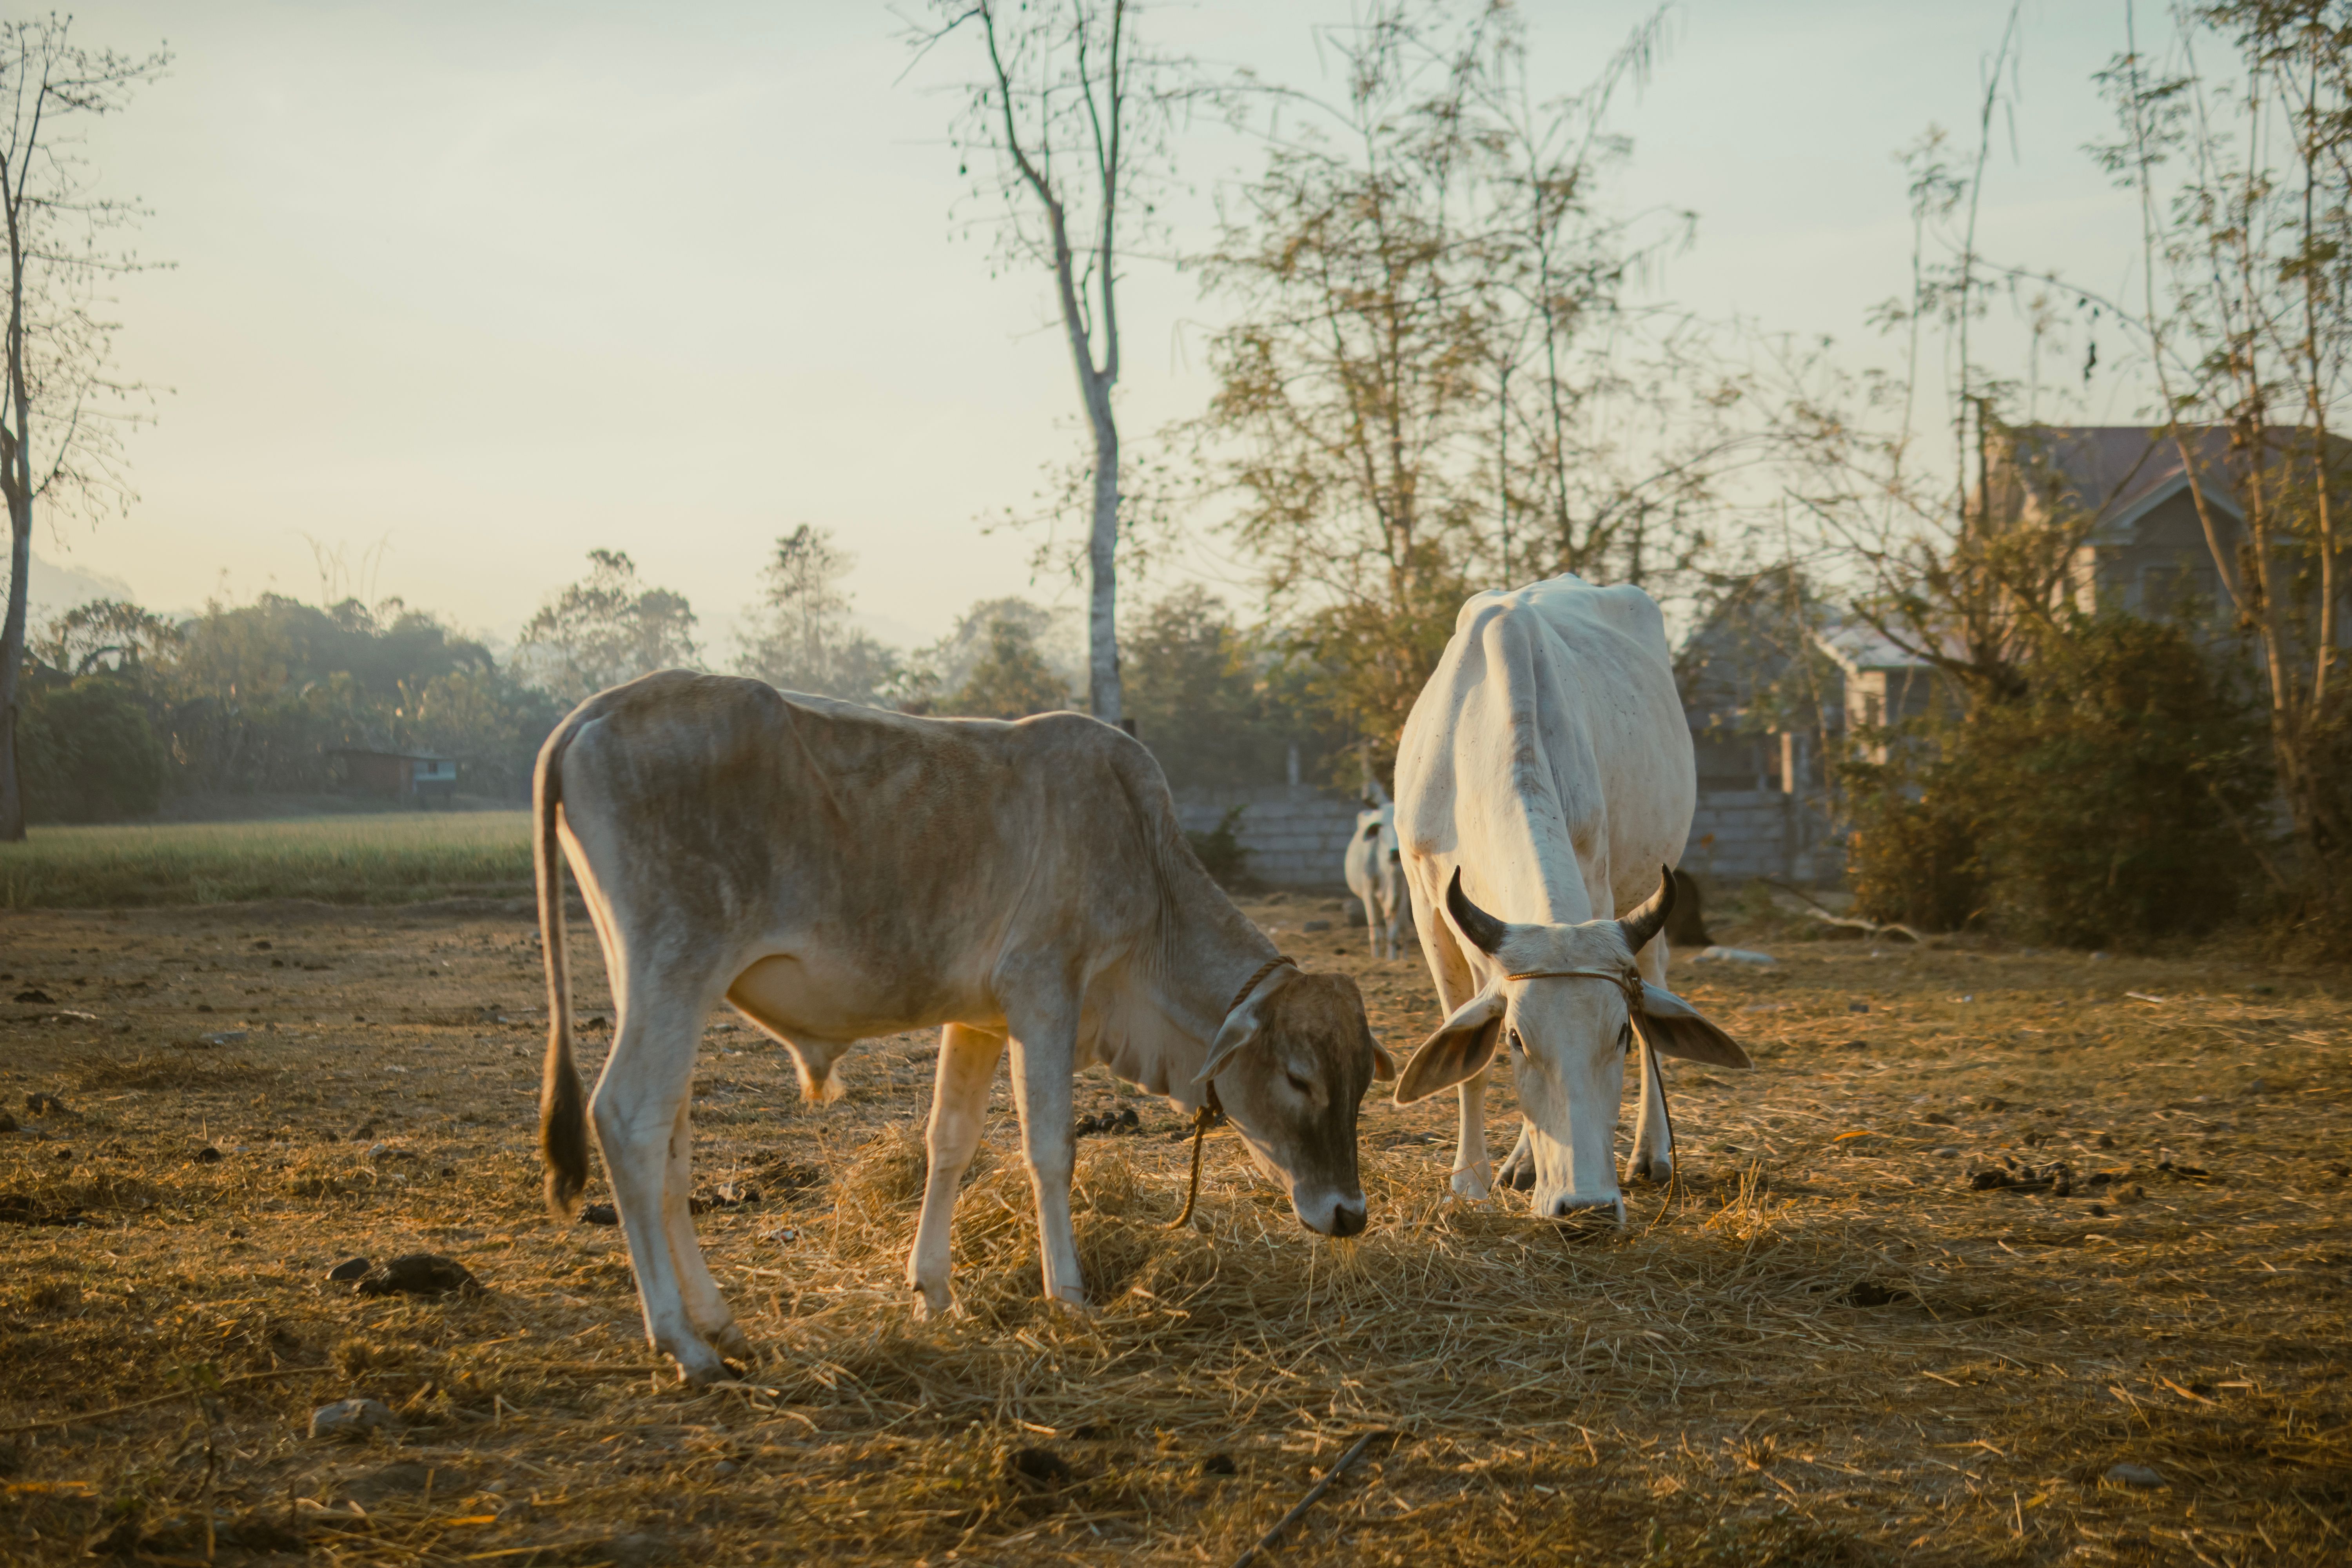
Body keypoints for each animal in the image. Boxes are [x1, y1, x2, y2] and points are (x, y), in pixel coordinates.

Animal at [533, 672, 1394, 1384]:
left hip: (660, 985)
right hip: (675, 967)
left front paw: (933, 1290)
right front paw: (1068, 1295)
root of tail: (588, 713)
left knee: (669, 1144)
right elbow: (1051, 1148)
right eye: (1299, 1077)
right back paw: (684, 1341)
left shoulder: (977, 1020)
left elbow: (949, 1141)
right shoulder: (1044, 993)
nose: (1349, 1214)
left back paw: (721, 1323)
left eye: (1359, 1083)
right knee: (628, 1119)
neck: (1146, 874)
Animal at [1344, 791, 1410, 960]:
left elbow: (1394, 933)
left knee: (1404, 928)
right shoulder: (1368, 894)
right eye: (1381, 826)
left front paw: (1392, 959)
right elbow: (1376, 931)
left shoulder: (1399, 895)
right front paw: (1376, 958)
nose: (1395, 853)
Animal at [1389, 575, 1750, 1220]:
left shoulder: (1602, 891)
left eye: (1621, 1036)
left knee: (1658, 979)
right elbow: (1470, 1062)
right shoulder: (1427, 909)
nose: (1587, 1206)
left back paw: (1648, 1153)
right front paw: (1470, 1179)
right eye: (1515, 1040)